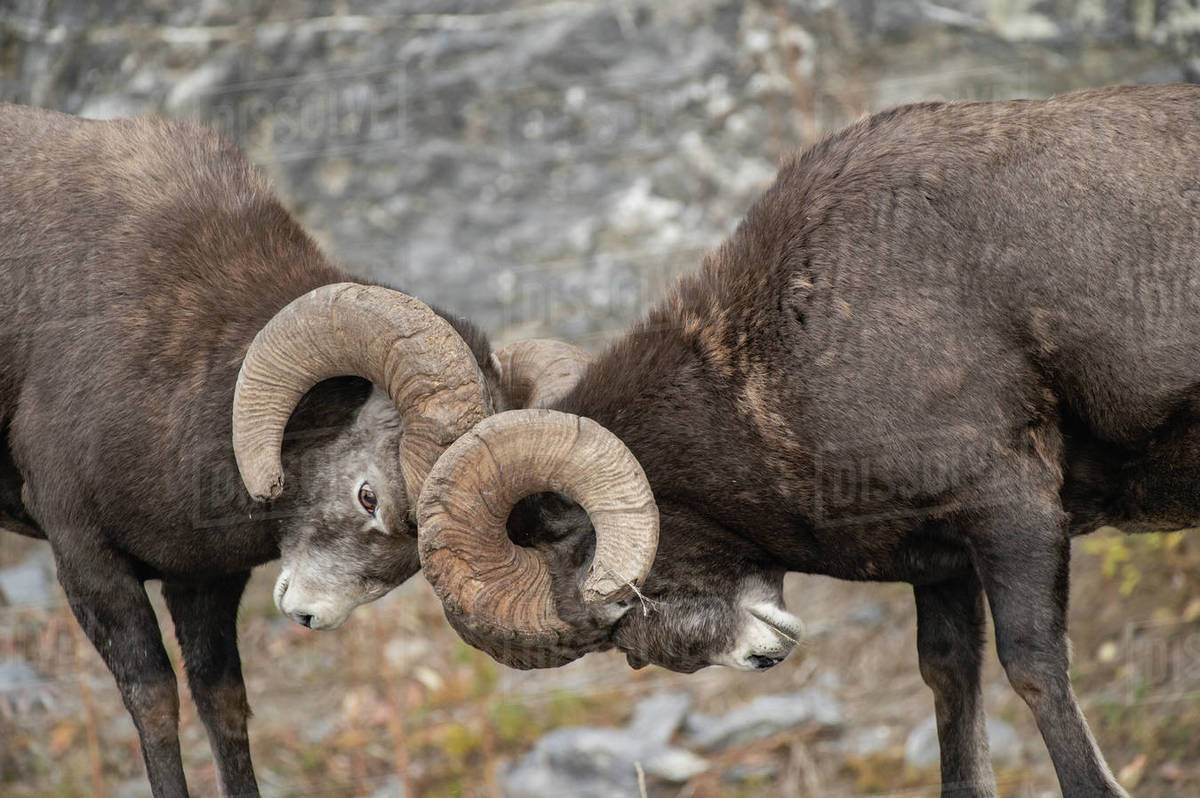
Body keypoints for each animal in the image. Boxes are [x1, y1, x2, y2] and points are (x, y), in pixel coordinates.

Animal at [0, 103, 498, 797]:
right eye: (368, 495)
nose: (312, 616)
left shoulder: (203, 580)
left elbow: (223, 705)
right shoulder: (87, 560)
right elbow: (154, 701)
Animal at [413, 84, 1200, 798]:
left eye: (615, 606)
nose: (762, 656)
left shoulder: (1015, 510)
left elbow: (1035, 667)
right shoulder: (943, 564)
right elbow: (950, 683)